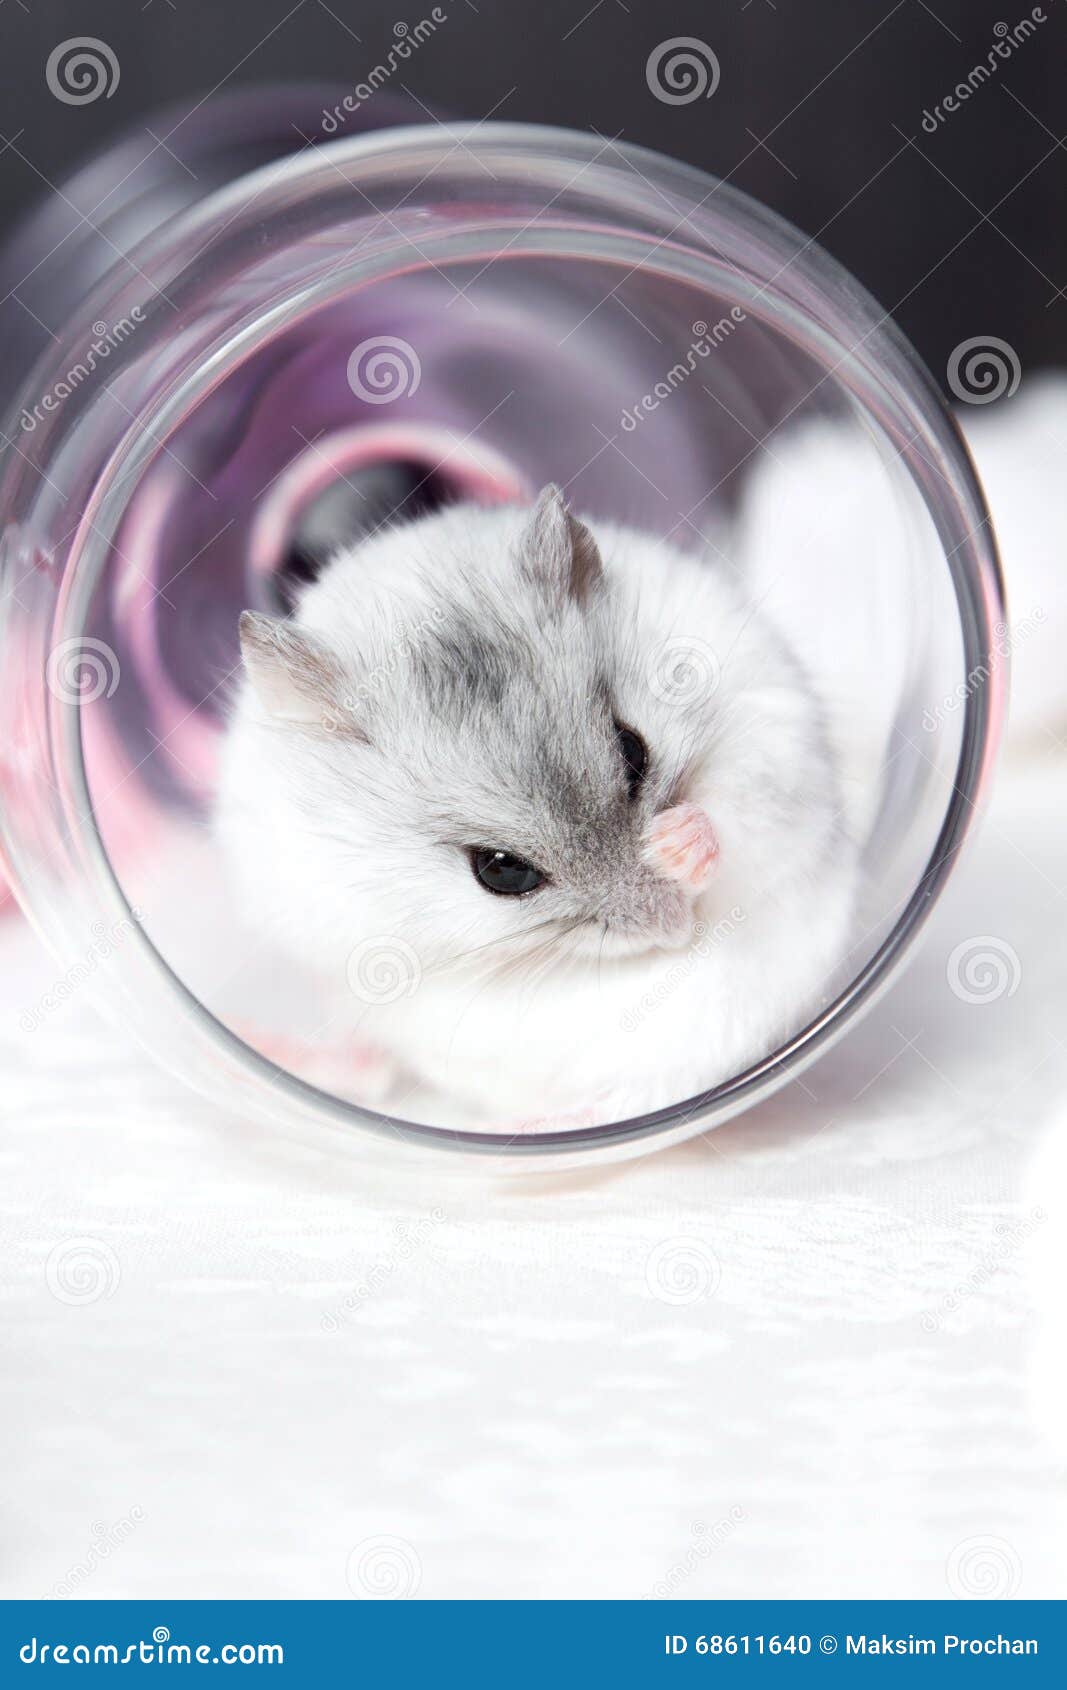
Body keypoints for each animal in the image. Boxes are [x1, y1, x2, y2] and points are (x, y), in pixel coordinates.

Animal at [215, 486, 860, 1129]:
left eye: (633, 752)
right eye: (501, 871)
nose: (675, 931)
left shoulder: (768, 735)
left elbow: (737, 812)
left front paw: (674, 843)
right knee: (378, 1069)